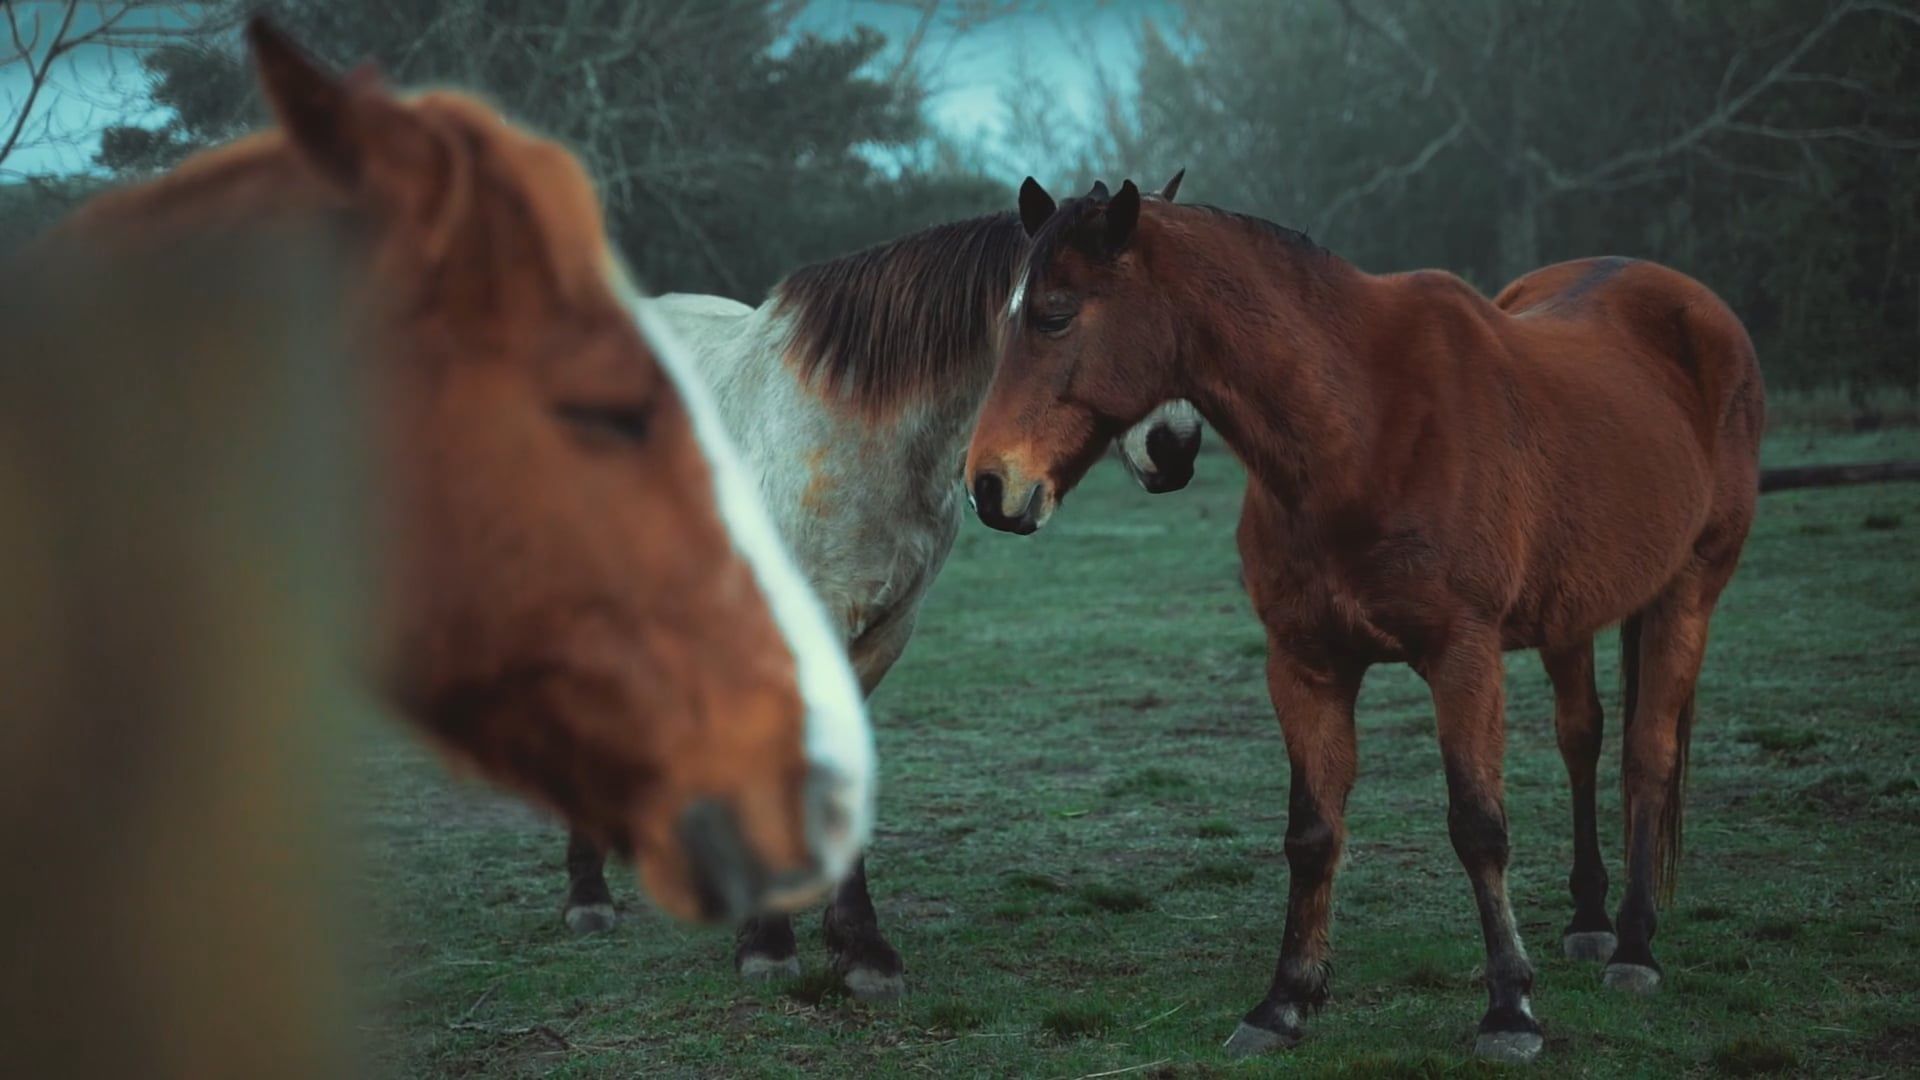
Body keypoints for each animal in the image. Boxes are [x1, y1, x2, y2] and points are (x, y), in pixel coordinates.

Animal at [554, 210, 1205, 998]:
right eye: (1061, 314)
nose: (1174, 444)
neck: (857, 429)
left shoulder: (884, 632)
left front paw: (859, 947)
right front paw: (768, 942)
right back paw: (589, 896)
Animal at [966, 175, 1764, 1062]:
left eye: (1056, 314)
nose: (990, 486)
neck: (1361, 426)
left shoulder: (1463, 658)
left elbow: (1478, 826)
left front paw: (1509, 1010)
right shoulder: (1305, 663)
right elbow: (1313, 833)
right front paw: (1284, 1001)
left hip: (1690, 590)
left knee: (1647, 756)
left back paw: (1634, 945)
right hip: (1574, 614)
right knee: (1582, 739)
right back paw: (1590, 920)